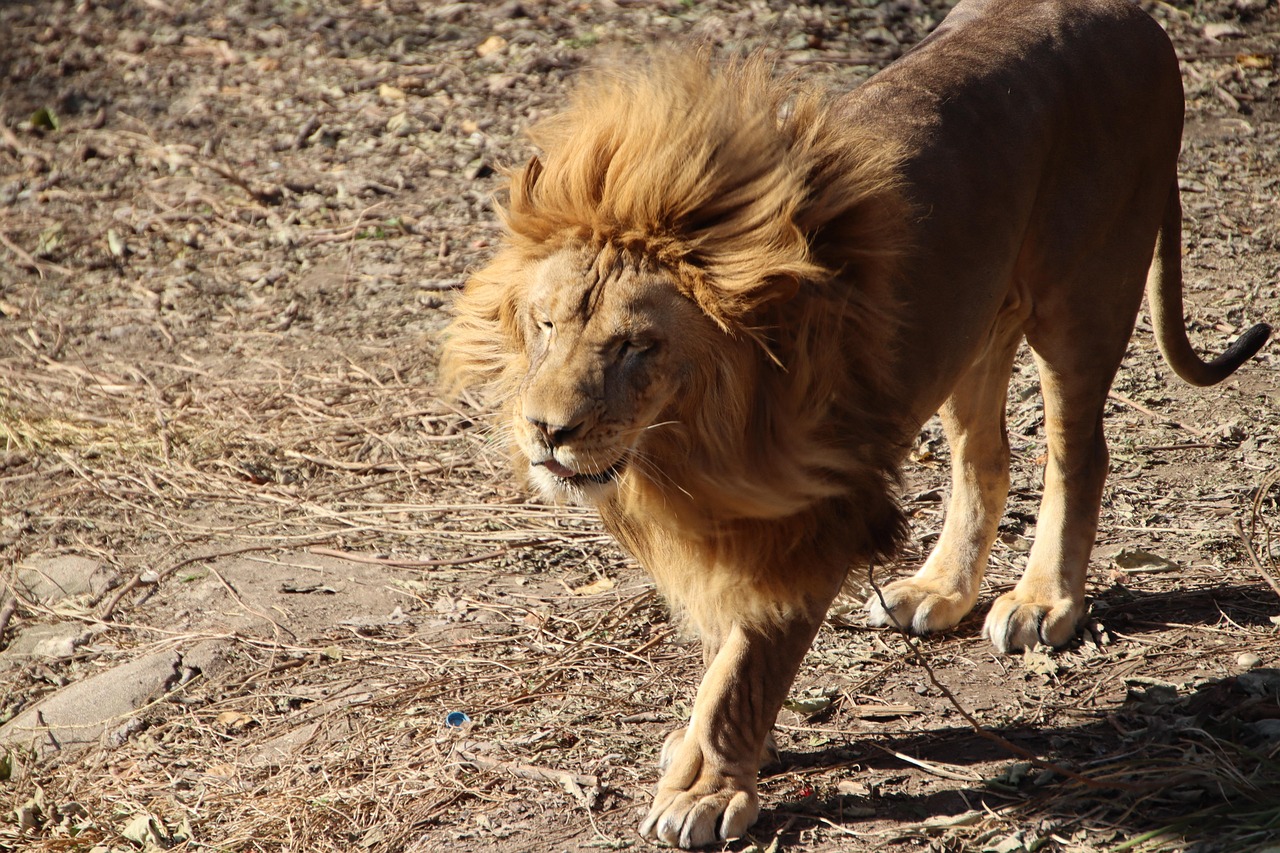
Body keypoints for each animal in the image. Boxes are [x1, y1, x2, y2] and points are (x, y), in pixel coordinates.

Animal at [440, 0, 1270, 846]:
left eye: (636, 345)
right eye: (546, 324)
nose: (545, 430)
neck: (692, 440)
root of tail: (1135, 16)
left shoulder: (814, 512)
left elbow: (747, 665)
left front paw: (709, 786)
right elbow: (725, 645)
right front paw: (705, 745)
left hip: (1083, 300)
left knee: (1080, 453)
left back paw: (1044, 602)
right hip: (971, 324)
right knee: (985, 457)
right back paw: (937, 590)